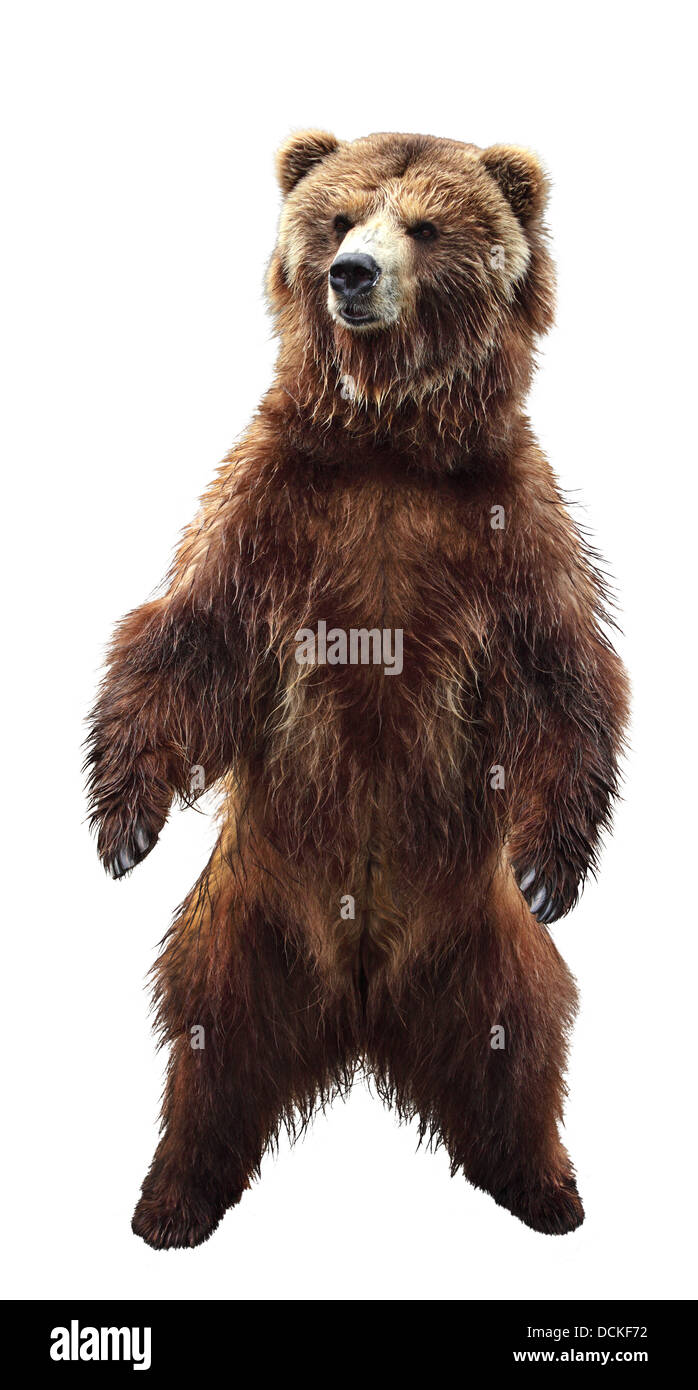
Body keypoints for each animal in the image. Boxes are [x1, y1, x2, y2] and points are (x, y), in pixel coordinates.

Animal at [86, 130, 629, 1248]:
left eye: (422, 225)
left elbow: (566, 677)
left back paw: (545, 1187)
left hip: (481, 936)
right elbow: (187, 640)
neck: (388, 444)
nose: (351, 274)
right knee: (206, 1043)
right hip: (243, 924)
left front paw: (551, 866)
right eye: (338, 218)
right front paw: (121, 825)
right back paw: (172, 1198)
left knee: (522, 1038)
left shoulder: (508, 522)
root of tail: (365, 1009)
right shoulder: (269, 503)